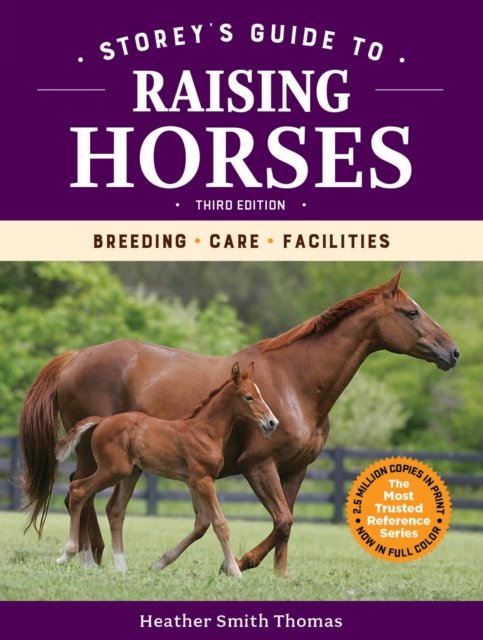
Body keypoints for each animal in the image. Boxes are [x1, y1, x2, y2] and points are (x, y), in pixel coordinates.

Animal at [54, 362, 278, 576]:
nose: (272, 422)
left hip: (130, 473)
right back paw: (67, 554)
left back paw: (121, 566)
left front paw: (159, 563)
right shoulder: (204, 480)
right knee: (78, 489)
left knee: (115, 509)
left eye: (260, 394)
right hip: (113, 469)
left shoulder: (193, 482)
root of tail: (103, 420)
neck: (206, 432)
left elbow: (202, 521)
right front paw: (234, 571)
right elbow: (220, 523)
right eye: (249, 397)